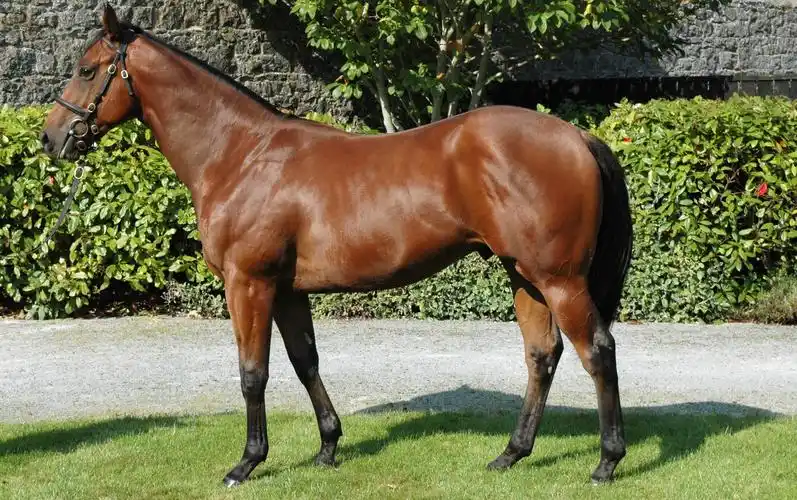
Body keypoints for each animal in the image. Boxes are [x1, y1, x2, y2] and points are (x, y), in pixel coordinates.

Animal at [40, 5, 633, 487]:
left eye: (87, 69)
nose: (52, 138)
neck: (241, 154)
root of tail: (577, 136)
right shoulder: (286, 290)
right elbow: (305, 361)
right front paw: (327, 446)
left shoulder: (248, 284)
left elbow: (253, 373)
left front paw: (247, 462)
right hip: (523, 274)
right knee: (542, 354)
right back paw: (512, 453)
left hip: (559, 279)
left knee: (597, 351)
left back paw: (606, 461)